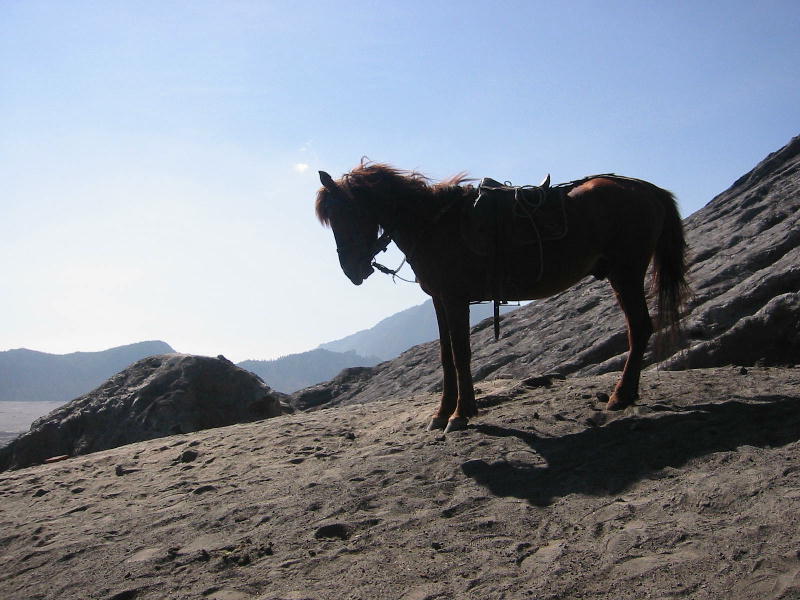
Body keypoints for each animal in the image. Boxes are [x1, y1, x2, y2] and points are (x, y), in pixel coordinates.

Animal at [316, 161, 692, 432]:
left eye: (347, 214)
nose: (351, 270)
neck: (434, 224)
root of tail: (645, 187)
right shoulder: (440, 300)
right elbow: (445, 357)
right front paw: (442, 412)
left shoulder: (455, 299)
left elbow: (461, 355)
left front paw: (461, 414)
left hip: (625, 274)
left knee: (639, 328)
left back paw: (620, 396)